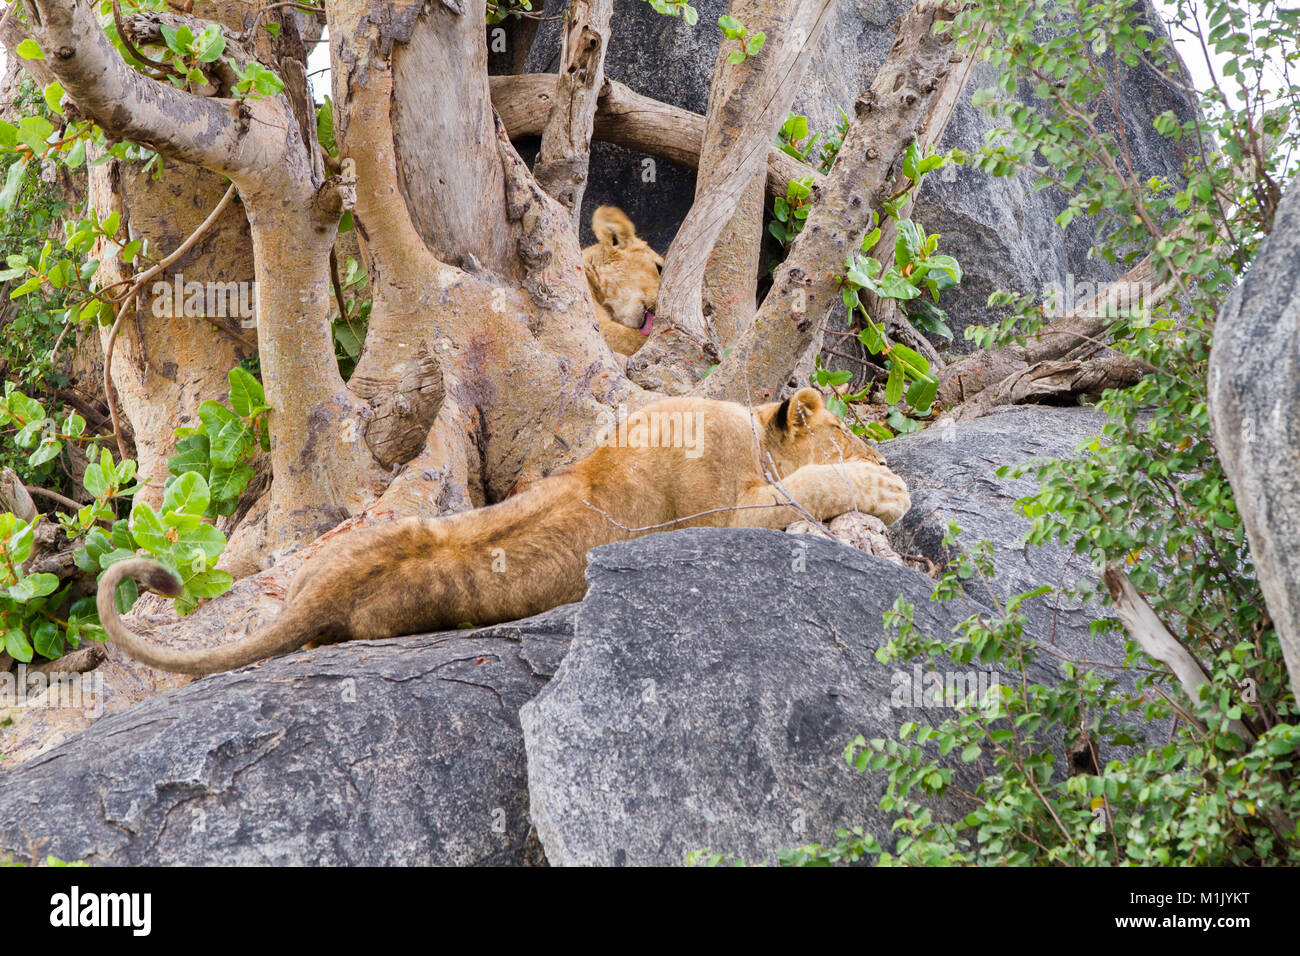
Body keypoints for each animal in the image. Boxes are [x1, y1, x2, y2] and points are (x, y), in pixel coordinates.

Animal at [98, 388, 910, 675]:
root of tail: (325, 590)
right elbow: (813, 484)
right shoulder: (722, 514)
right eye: (850, 431)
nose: (883, 452)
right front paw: (890, 488)